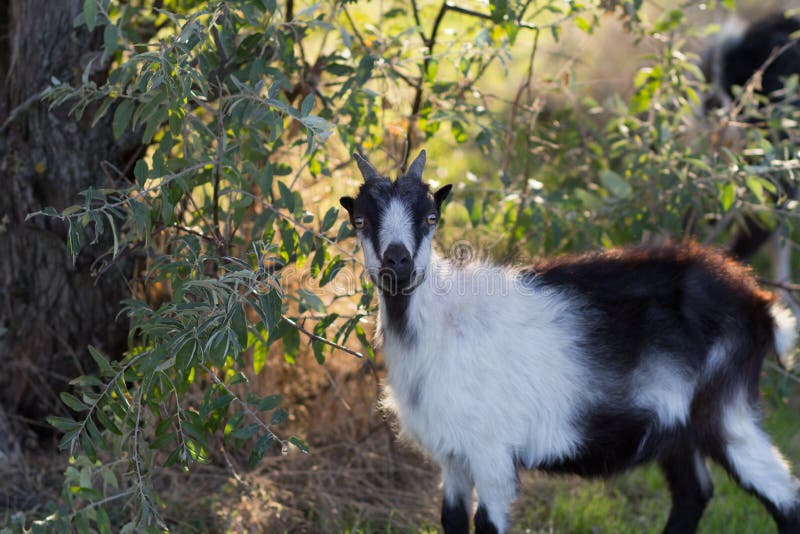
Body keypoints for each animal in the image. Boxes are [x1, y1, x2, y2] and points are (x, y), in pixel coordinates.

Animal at [340, 150, 800, 534]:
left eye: (431, 218)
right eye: (360, 221)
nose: (398, 261)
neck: (436, 324)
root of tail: (760, 306)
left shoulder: (491, 453)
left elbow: (486, 525)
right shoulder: (452, 455)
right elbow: (452, 521)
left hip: (725, 408)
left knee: (785, 498)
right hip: (676, 422)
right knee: (694, 493)